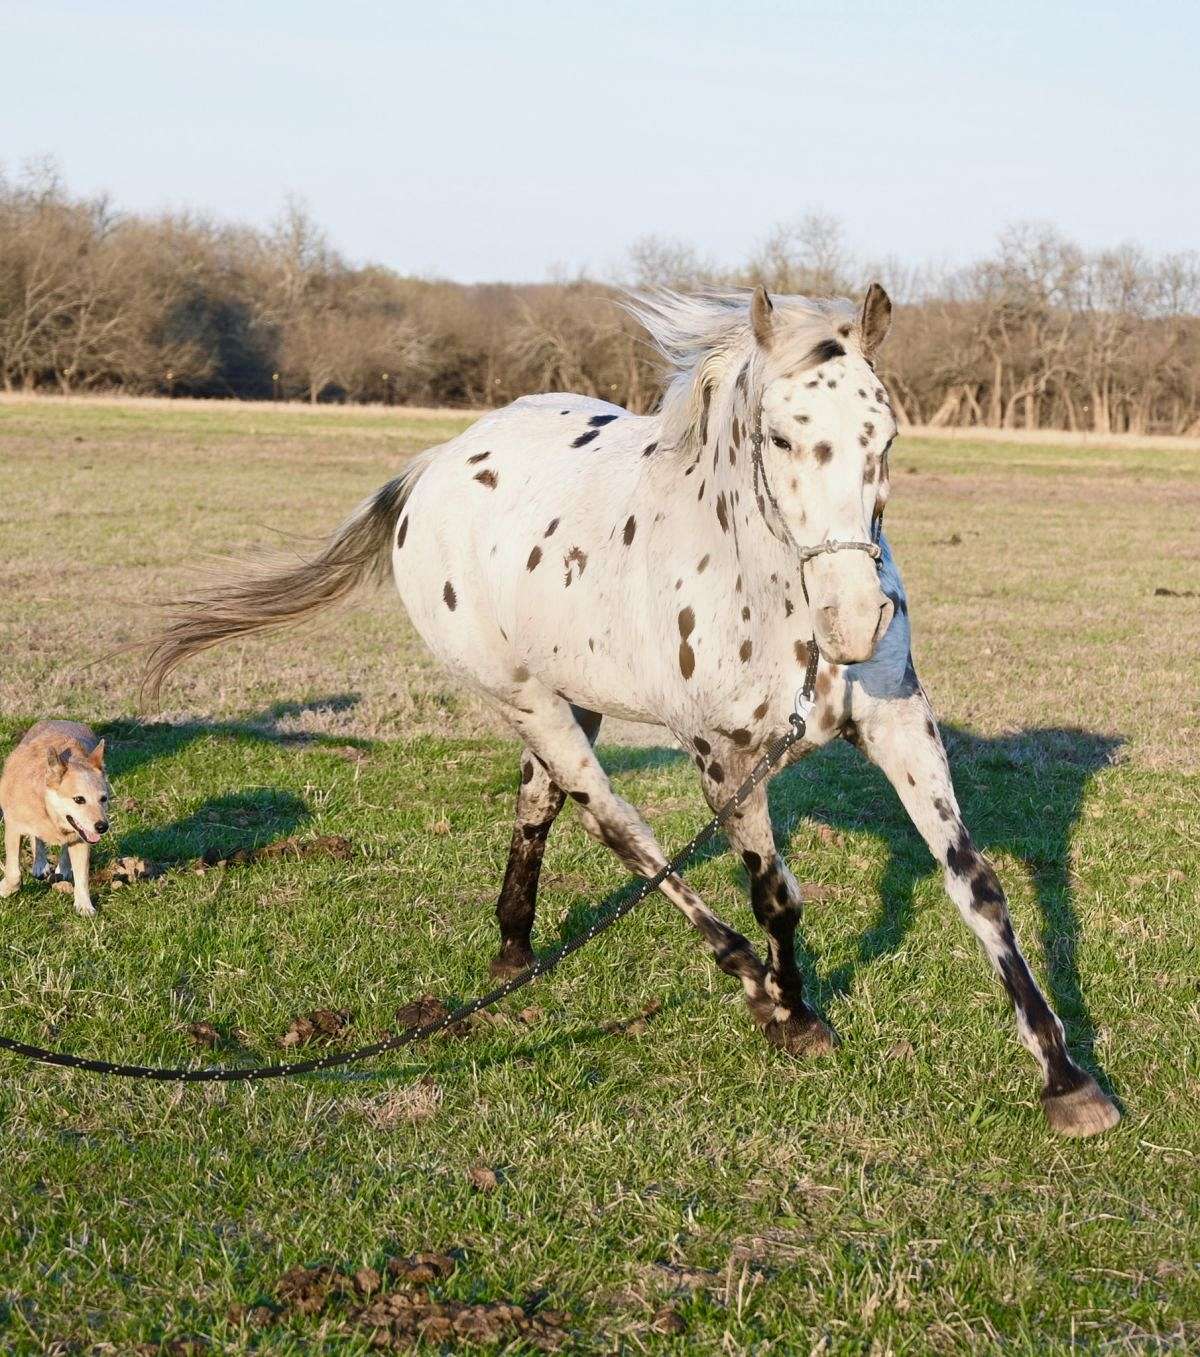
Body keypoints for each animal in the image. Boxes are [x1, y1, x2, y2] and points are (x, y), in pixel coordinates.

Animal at [142, 284, 1119, 1138]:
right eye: (779, 436)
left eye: (886, 433)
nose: (853, 620)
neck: (779, 600)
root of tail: (434, 467)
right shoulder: (724, 755)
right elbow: (775, 894)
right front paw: (796, 1013)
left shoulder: (899, 725)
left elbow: (976, 884)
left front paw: (1067, 1078)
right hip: (527, 699)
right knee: (612, 822)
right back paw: (745, 982)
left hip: (571, 699)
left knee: (541, 803)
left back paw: (516, 949)